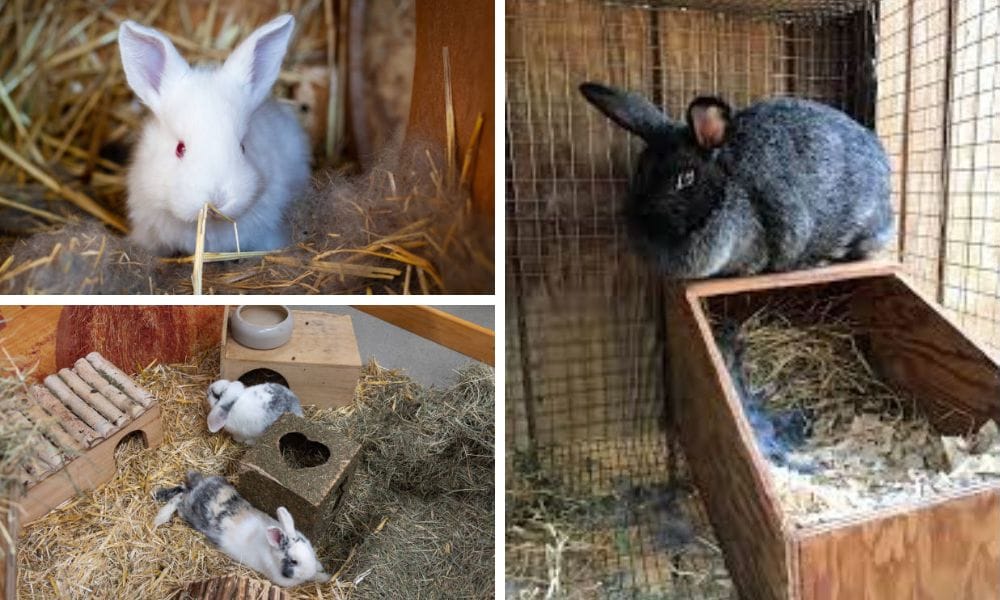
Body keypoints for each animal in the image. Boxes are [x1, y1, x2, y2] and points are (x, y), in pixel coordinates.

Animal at [153, 471, 330, 587]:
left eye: (307, 546)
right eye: (294, 561)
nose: (310, 569)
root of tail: (200, 486)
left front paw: (322, 570)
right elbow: (312, 578)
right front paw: (325, 577)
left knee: (182, 489)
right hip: (187, 510)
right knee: (179, 499)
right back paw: (160, 515)